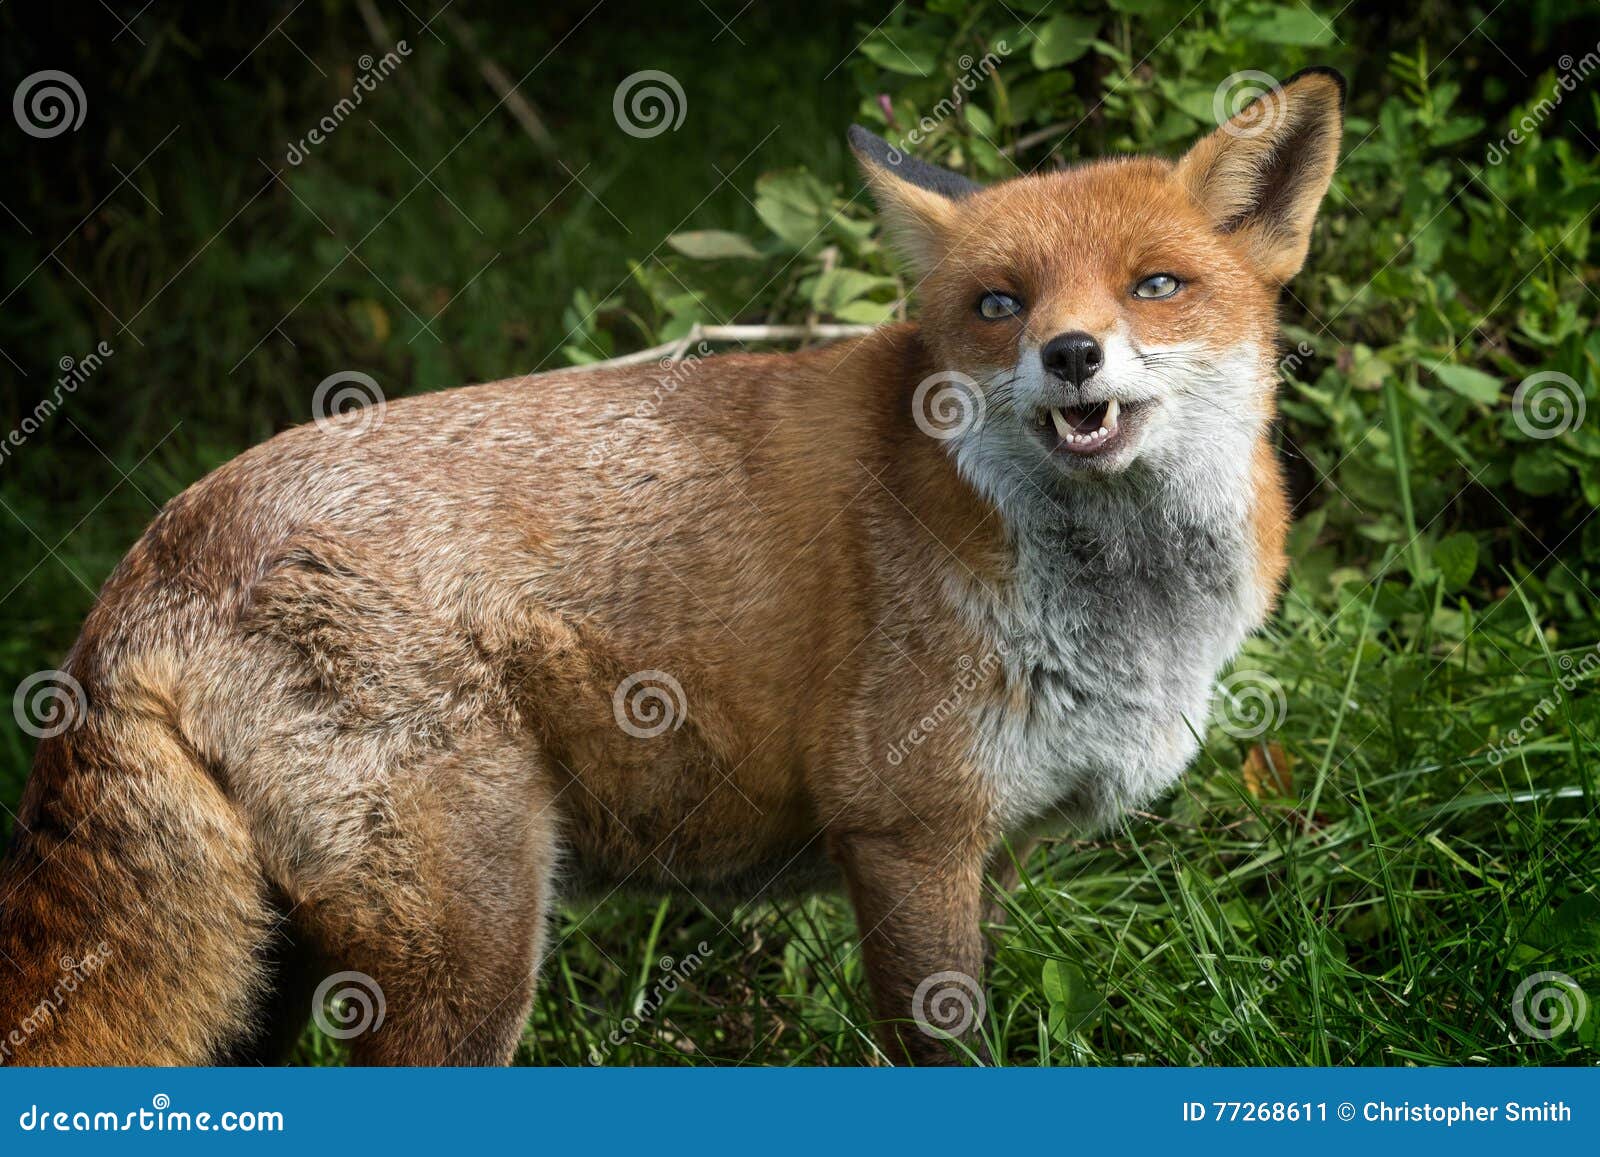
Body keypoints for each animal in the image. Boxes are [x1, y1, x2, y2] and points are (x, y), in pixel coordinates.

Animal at [0, 67, 1344, 1066]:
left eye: (1155, 285)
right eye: (1000, 304)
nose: (1071, 354)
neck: (1110, 597)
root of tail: (148, 561)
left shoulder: (990, 846)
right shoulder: (903, 829)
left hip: (269, 975)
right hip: (468, 951)